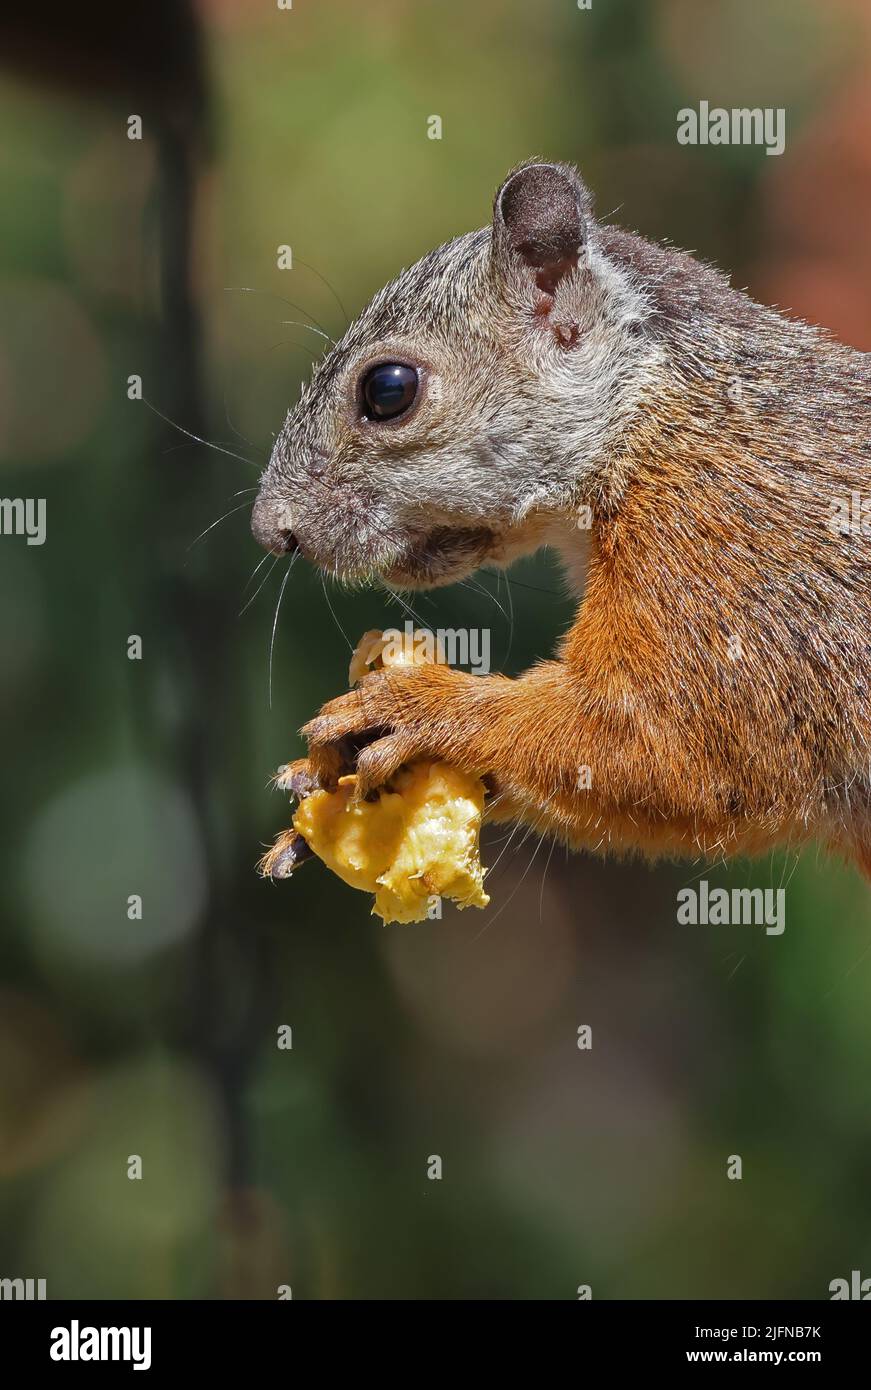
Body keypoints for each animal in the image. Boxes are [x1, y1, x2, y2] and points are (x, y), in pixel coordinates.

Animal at [250, 160, 871, 881]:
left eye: (388, 389)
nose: (272, 531)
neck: (657, 425)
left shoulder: (730, 557)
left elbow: (674, 749)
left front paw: (425, 707)